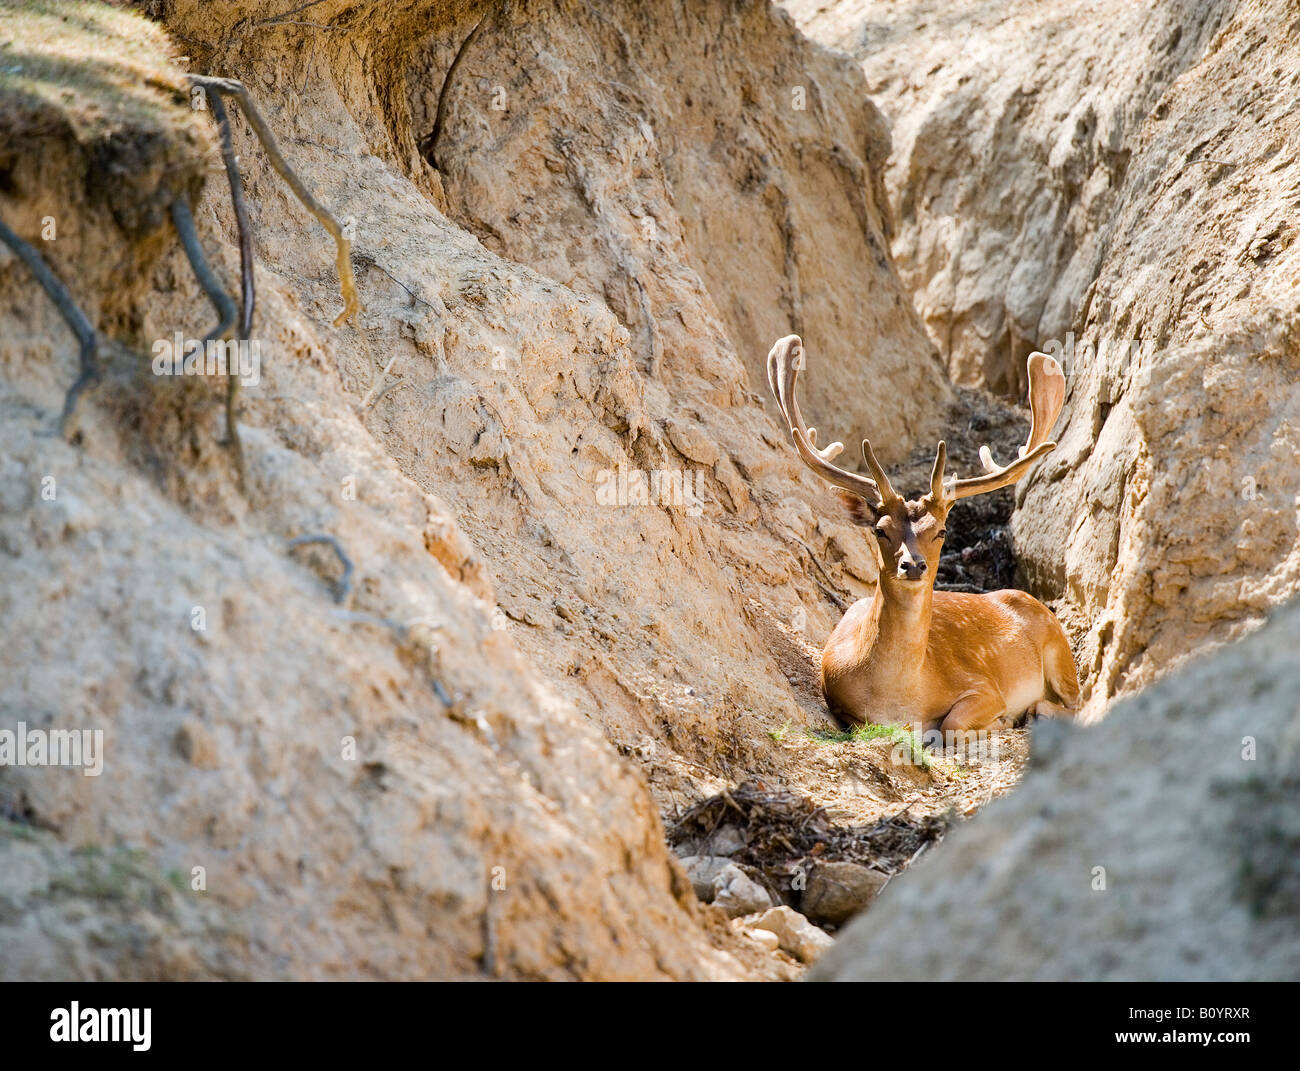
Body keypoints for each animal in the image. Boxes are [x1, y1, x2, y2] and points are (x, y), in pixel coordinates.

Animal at [767, 334, 1080, 736]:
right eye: (880, 530)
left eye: (942, 530)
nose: (912, 565)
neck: (898, 698)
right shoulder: (841, 702)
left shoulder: (984, 686)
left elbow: (953, 722)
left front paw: (1001, 720)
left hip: (1060, 652)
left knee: (1078, 701)